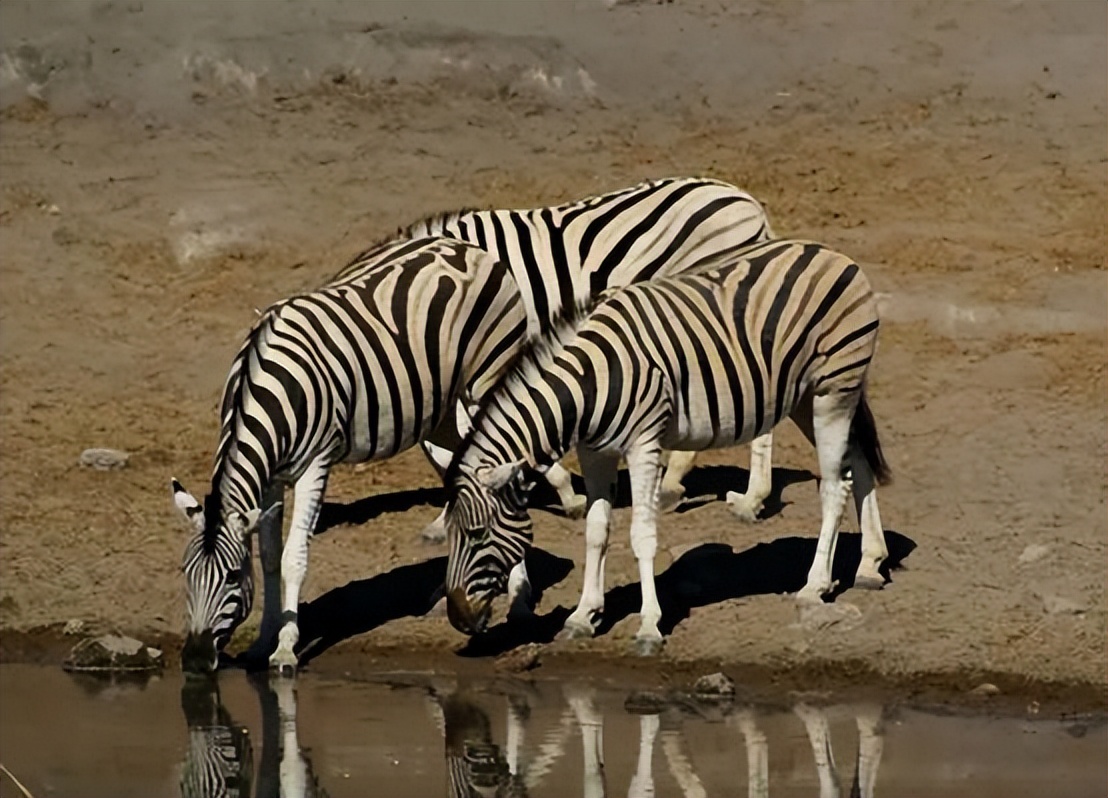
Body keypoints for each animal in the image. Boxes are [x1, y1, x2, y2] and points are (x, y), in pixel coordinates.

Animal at [172, 236, 529, 675]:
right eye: (185, 572)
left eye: (233, 577)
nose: (195, 660)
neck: (264, 388)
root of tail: (462, 245)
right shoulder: (271, 474)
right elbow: (270, 556)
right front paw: (262, 640)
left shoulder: (316, 462)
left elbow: (294, 557)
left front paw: (286, 648)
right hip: (439, 414)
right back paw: (444, 592)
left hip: (484, 382)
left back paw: (519, 594)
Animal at [443, 239, 892, 655]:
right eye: (449, 535)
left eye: (477, 534)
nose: (458, 618)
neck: (588, 382)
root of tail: (830, 252)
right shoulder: (594, 452)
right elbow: (596, 531)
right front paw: (584, 615)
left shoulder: (644, 443)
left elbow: (642, 534)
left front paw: (648, 627)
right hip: (807, 397)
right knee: (859, 466)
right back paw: (870, 564)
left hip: (834, 389)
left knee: (834, 486)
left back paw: (815, 586)